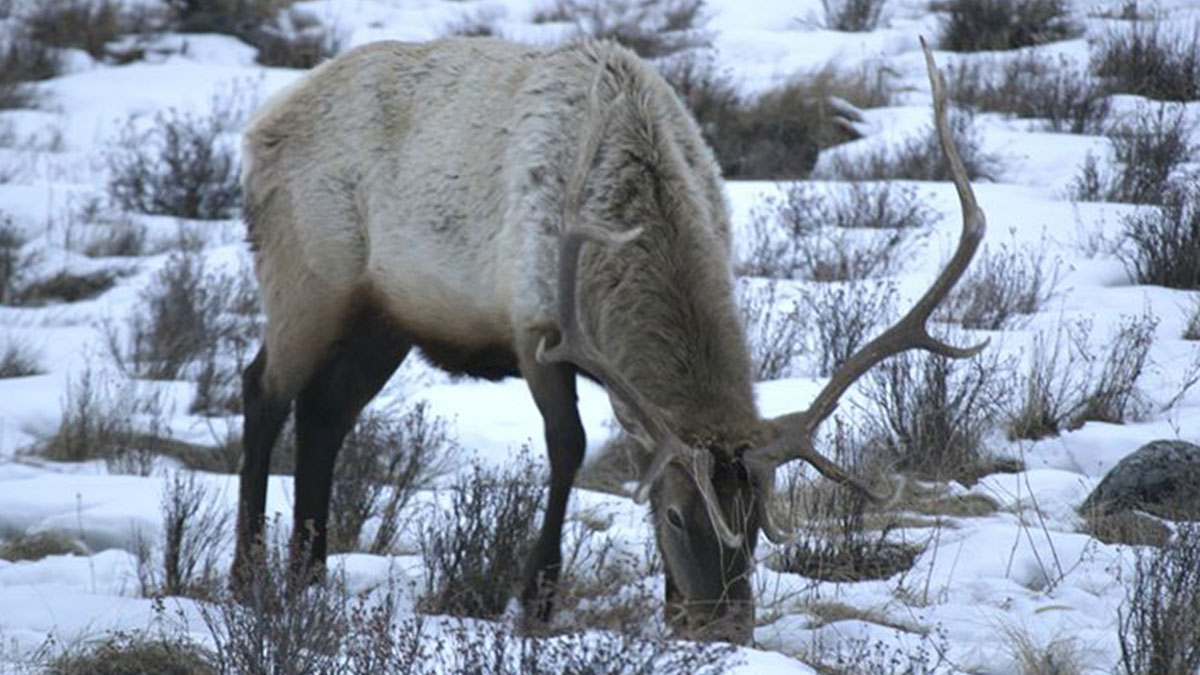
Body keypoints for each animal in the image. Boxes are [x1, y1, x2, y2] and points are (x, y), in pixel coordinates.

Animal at [232, 35, 985, 644]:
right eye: (676, 517)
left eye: (757, 517)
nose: (725, 626)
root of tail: (260, 126)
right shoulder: (536, 326)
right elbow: (567, 446)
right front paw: (535, 596)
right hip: (305, 273)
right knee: (263, 388)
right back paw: (248, 575)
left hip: (386, 316)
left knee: (325, 413)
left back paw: (309, 572)